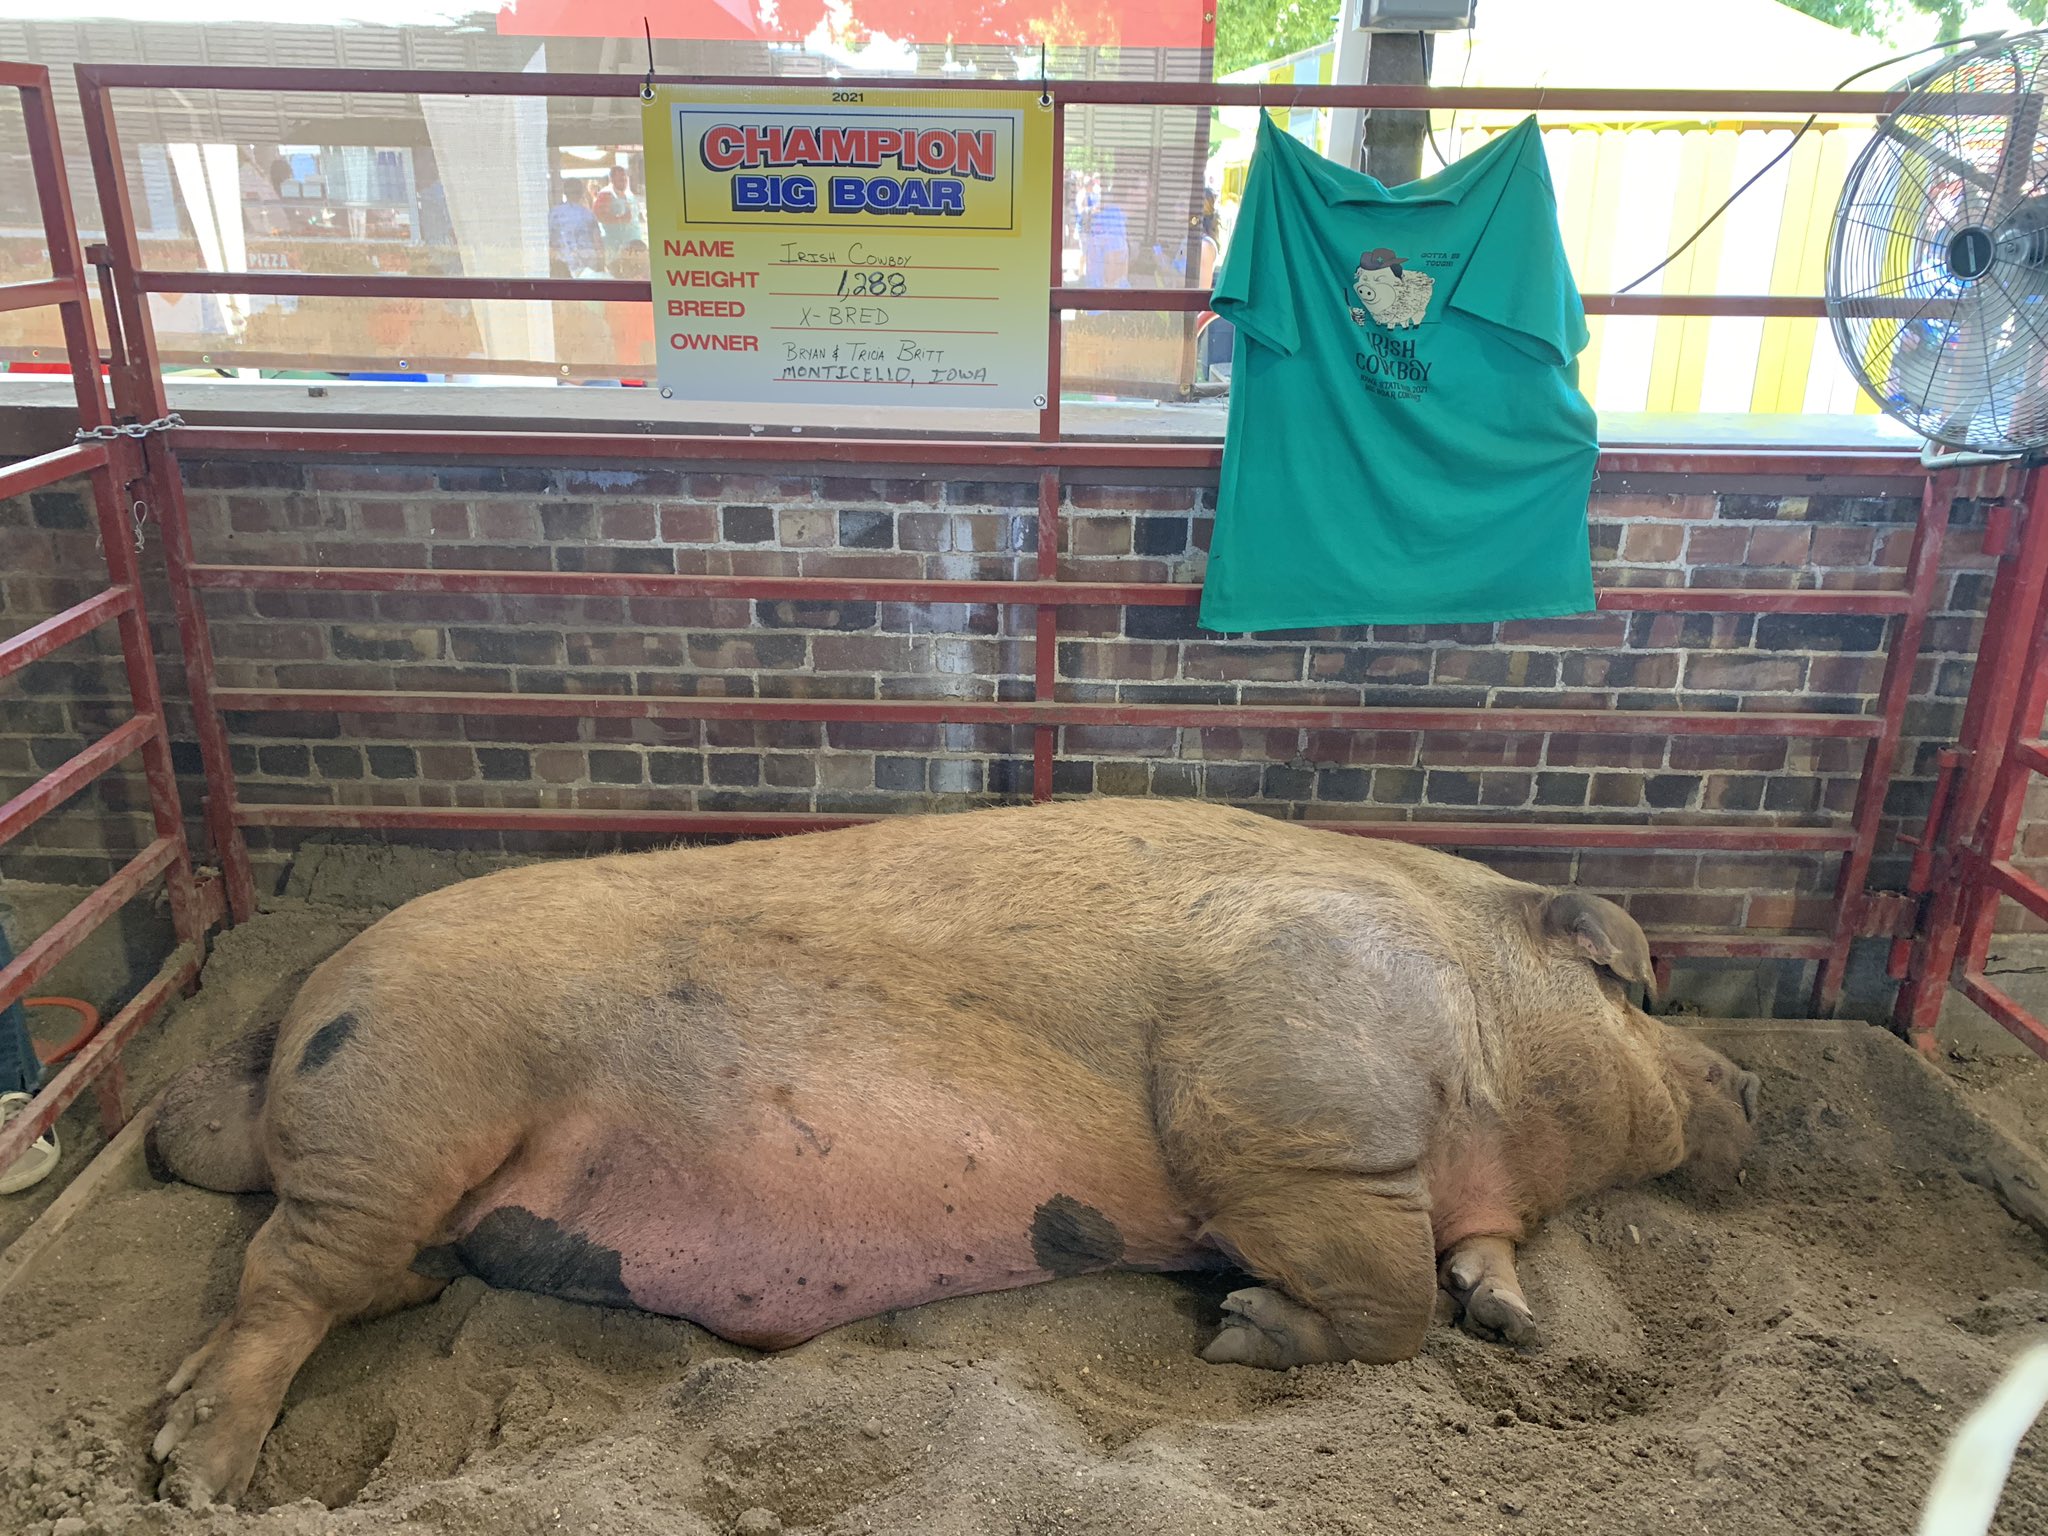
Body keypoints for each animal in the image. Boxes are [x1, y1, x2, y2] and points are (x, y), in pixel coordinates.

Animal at [145, 798, 1759, 1506]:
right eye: (1631, 992)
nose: (1750, 1085)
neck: (1469, 1024)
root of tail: (300, 1004)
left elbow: (1467, 1269)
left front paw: (1516, 1320)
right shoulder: (1292, 1123)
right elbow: (1384, 1305)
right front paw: (1238, 1330)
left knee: (351, 1278)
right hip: (406, 1097)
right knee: (284, 1281)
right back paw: (191, 1476)